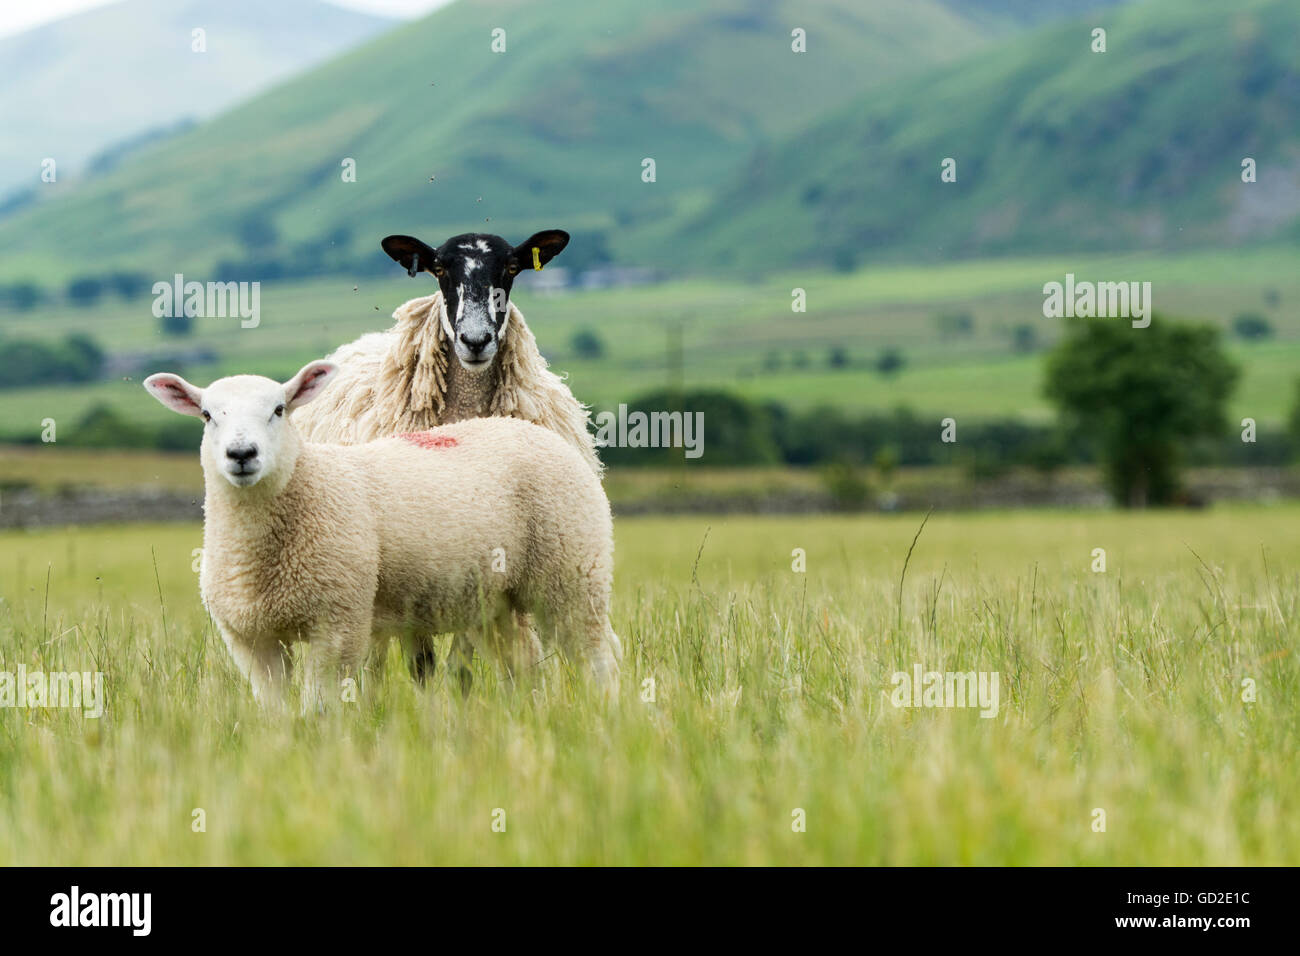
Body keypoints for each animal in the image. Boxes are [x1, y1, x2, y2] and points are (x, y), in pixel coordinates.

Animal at [142, 360, 622, 710]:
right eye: (208, 415)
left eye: (279, 410)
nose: (241, 454)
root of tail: (532, 429)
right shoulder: (251, 640)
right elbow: (275, 708)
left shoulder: (337, 623)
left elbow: (319, 705)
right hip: (496, 599)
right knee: (522, 661)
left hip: (573, 569)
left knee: (599, 655)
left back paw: (606, 717)